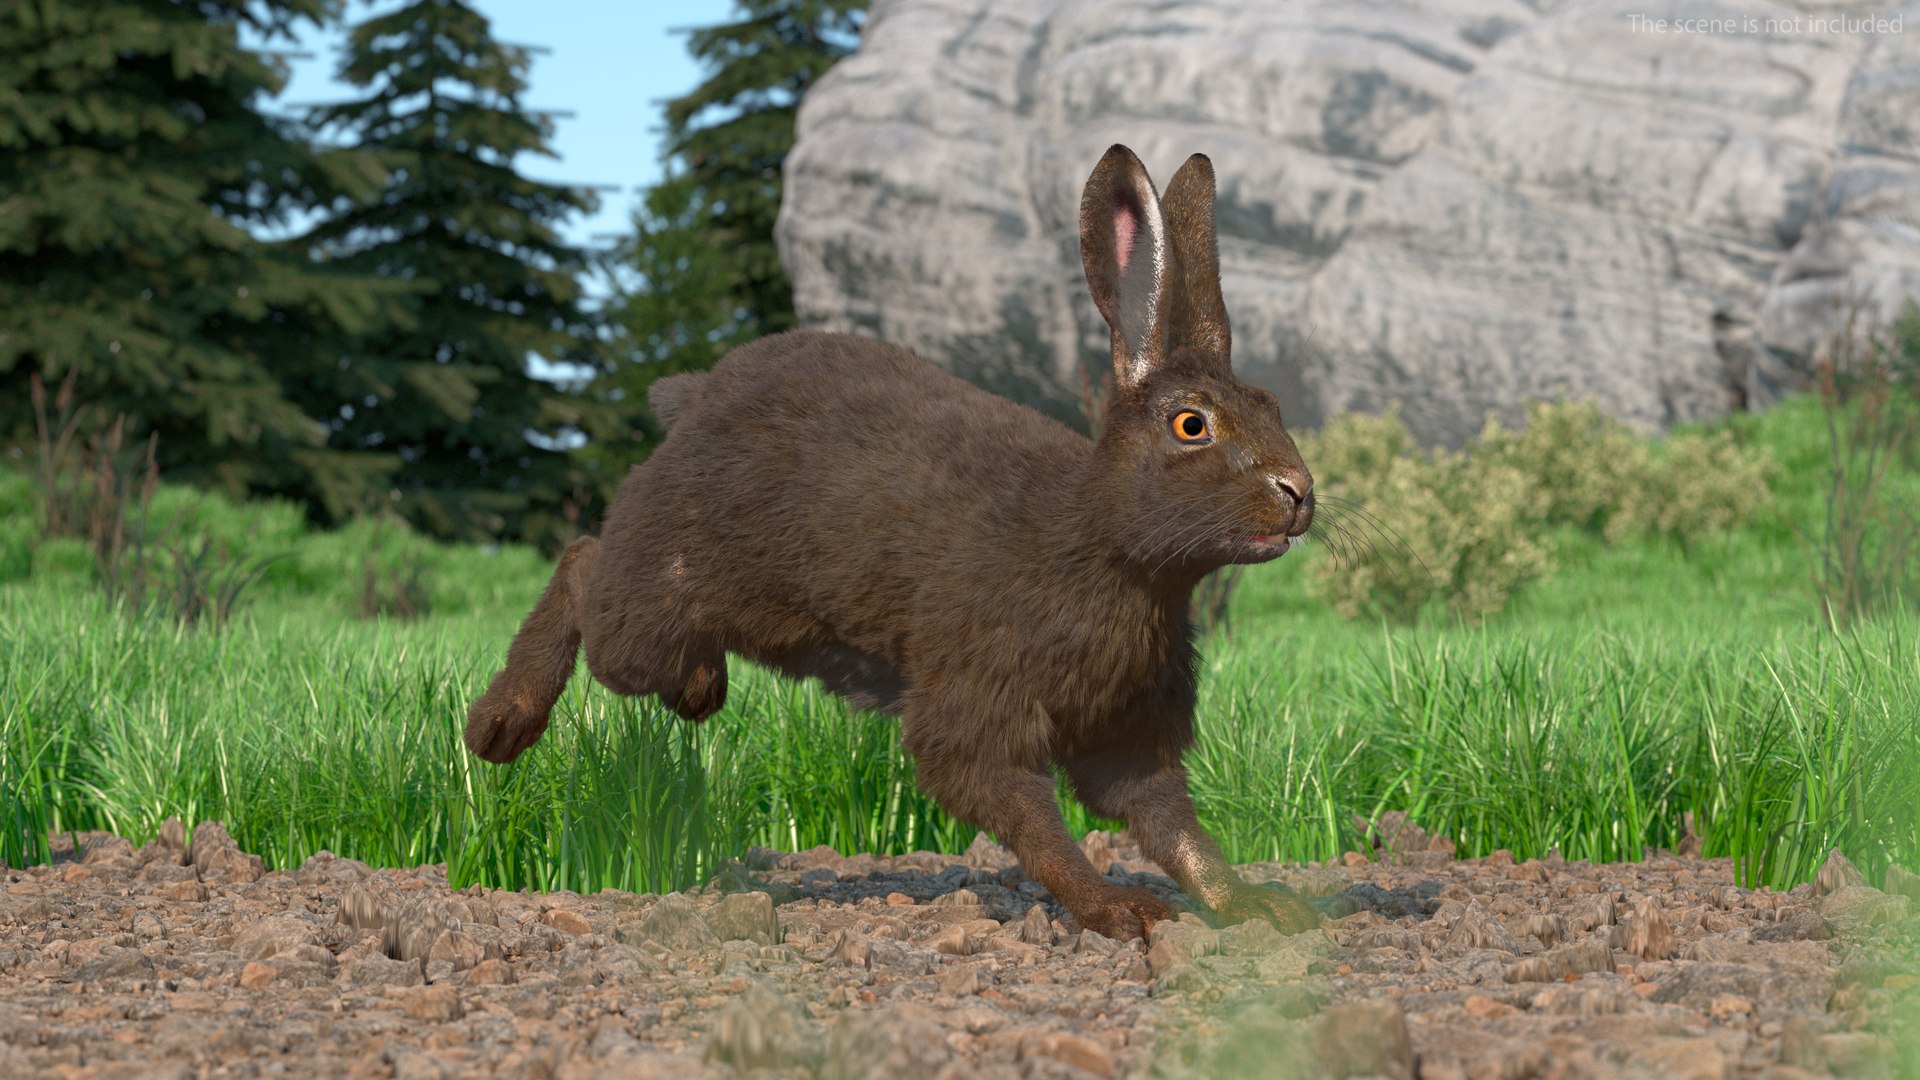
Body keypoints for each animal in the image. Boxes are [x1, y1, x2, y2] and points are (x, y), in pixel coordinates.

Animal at [464, 144, 1319, 941]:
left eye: (1271, 405)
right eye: (1191, 424)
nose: (1299, 494)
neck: (1111, 555)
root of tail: (691, 399)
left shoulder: (1131, 735)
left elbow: (1171, 826)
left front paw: (1255, 906)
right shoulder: (980, 701)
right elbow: (1027, 815)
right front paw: (1117, 910)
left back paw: (696, 688)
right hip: (653, 605)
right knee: (585, 569)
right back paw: (499, 728)